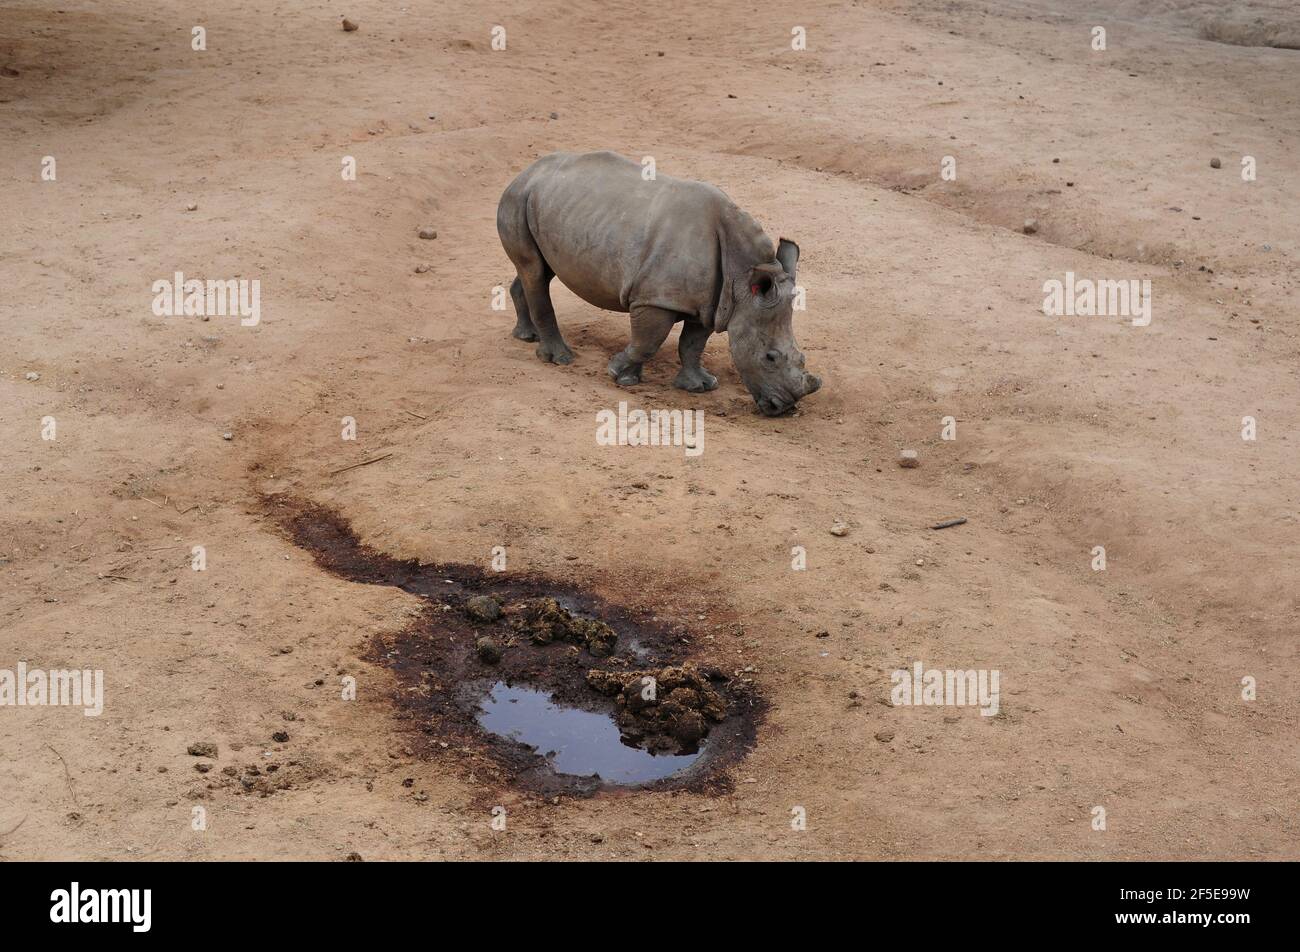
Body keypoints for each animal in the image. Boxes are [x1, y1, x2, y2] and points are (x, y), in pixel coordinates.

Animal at [496, 151, 822, 416]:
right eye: (770, 357)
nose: (785, 408)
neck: (742, 278)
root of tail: (525, 171)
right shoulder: (655, 299)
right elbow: (647, 342)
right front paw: (620, 375)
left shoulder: (710, 302)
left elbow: (692, 344)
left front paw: (700, 386)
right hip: (517, 199)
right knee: (534, 271)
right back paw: (560, 358)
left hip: (550, 206)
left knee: (538, 270)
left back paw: (526, 336)